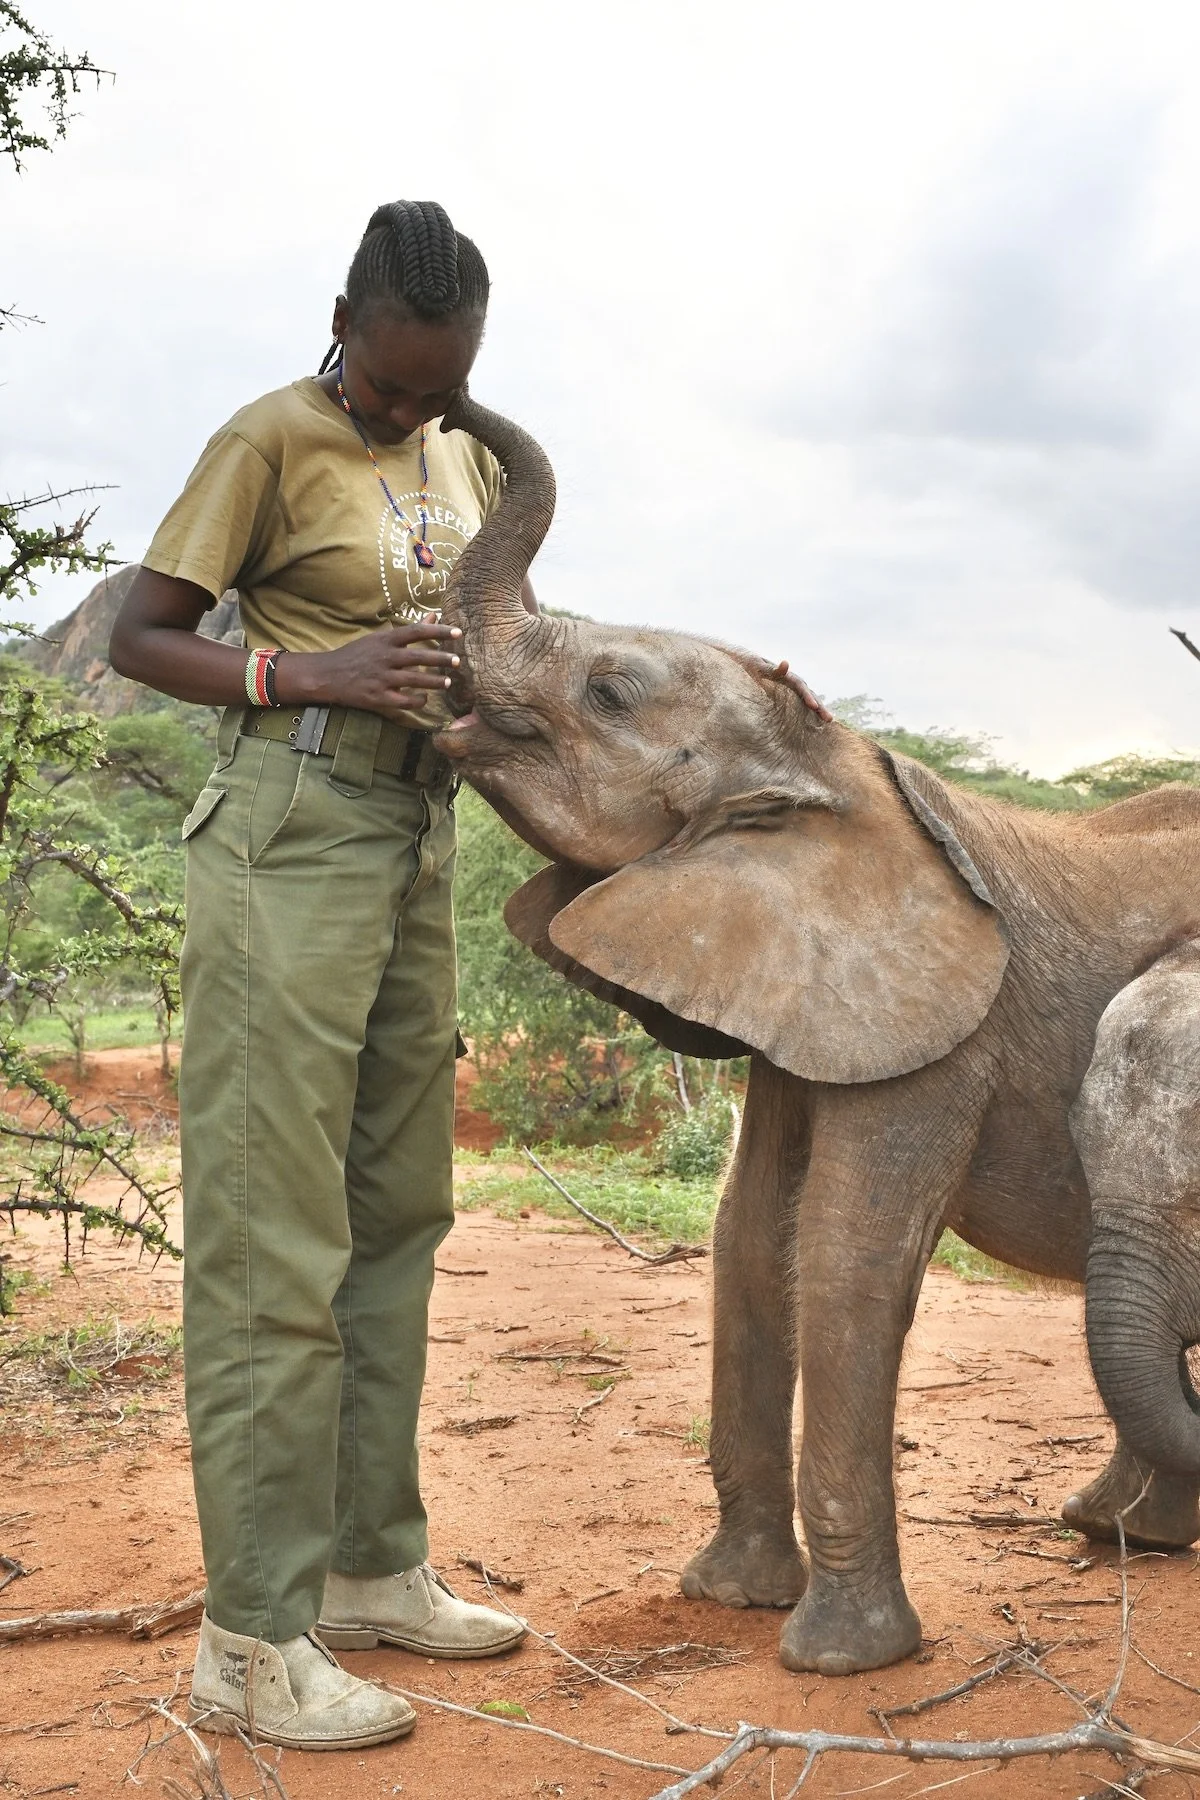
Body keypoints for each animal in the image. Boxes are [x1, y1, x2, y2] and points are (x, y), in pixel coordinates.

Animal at [428, 392, 1200, 1676]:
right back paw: (1118, 1537)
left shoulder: (942, 1028)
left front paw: (839, 1661)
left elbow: (846, 1255)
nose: (445, 398)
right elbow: (750, 1241)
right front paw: (727, 1598)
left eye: (610, 693)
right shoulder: (798, 984)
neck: (831, 764)